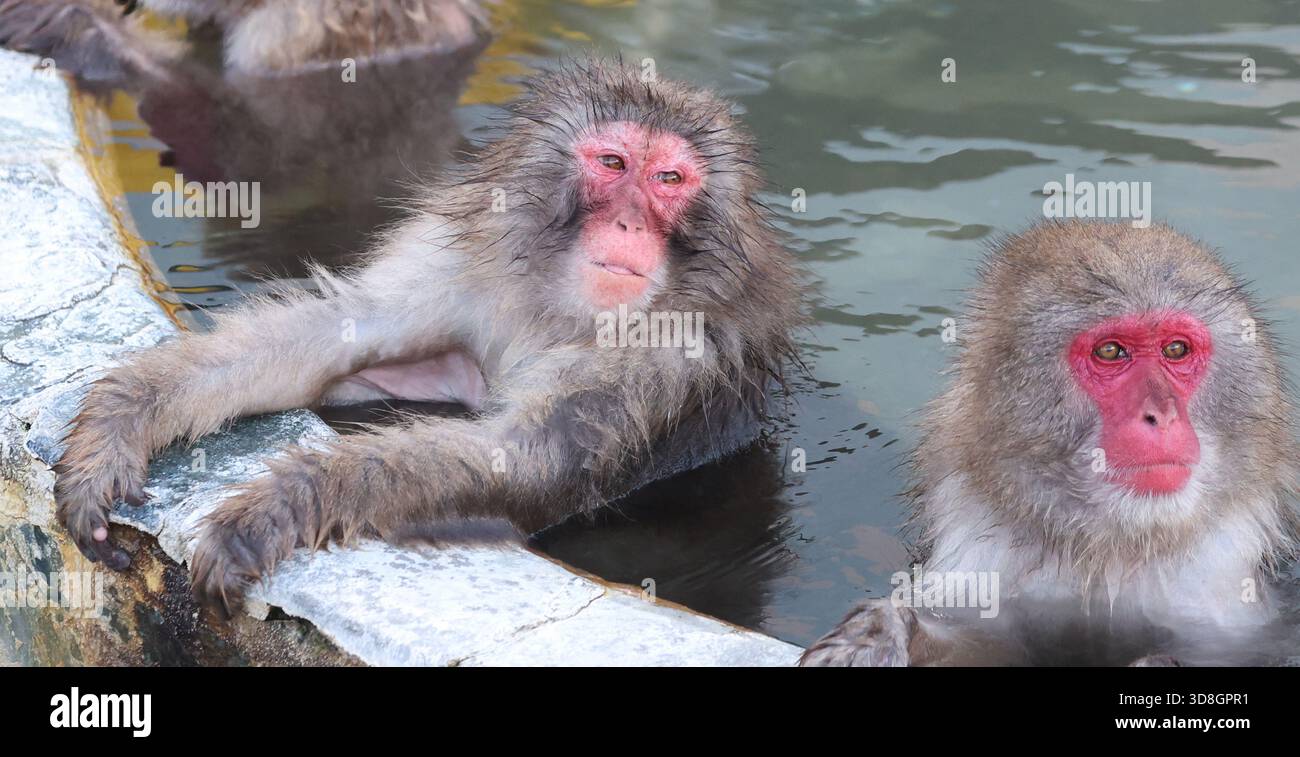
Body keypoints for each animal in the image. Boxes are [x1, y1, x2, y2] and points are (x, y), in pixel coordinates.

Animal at [51, 59, 803, 617]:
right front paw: (122, 416)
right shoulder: (461, 263)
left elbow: (523, 459)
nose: (629, 226)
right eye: (614, 163)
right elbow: (344, 326)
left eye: (670, 178)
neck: (560, 309)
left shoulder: (671, 354)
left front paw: (279, 504)